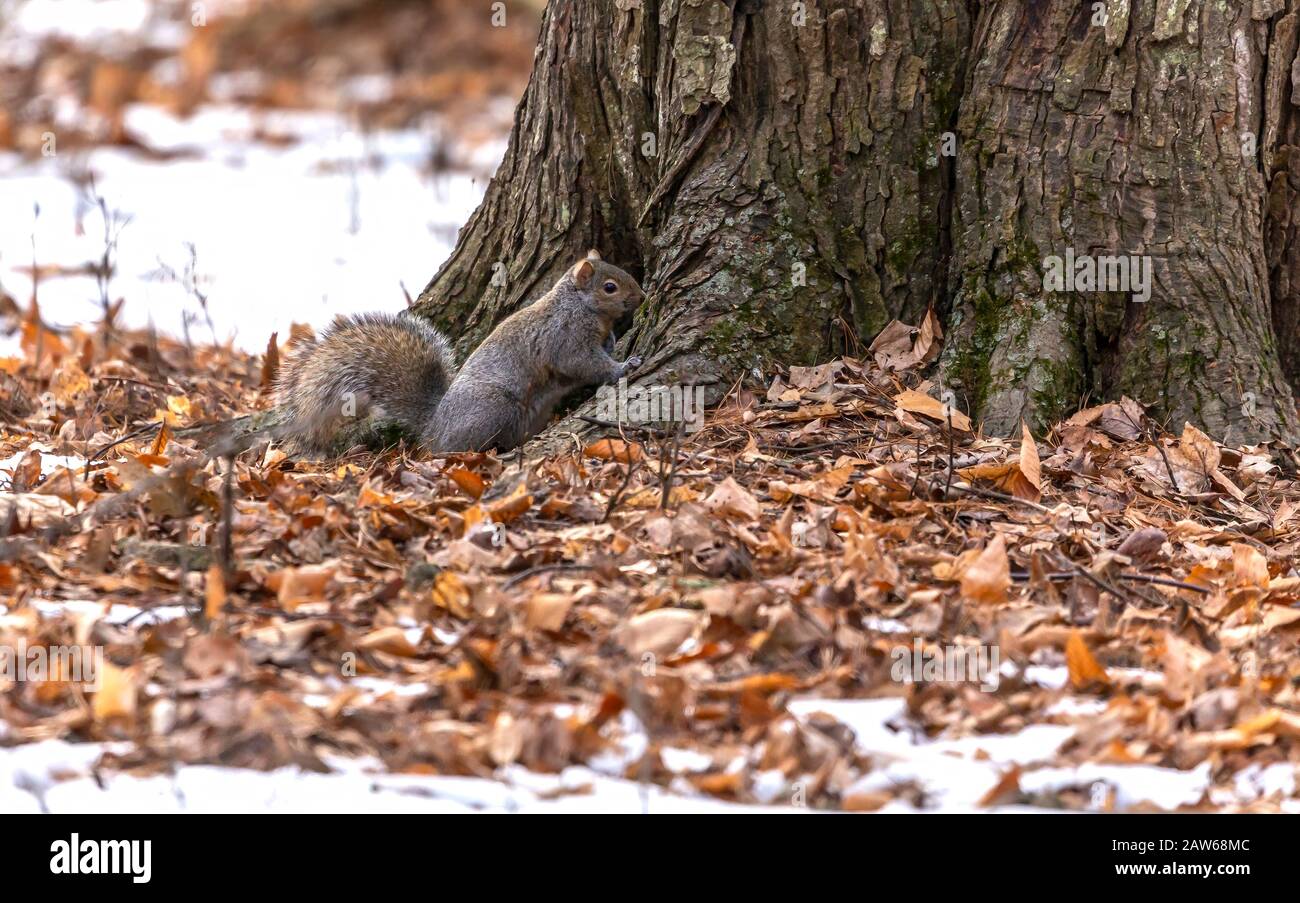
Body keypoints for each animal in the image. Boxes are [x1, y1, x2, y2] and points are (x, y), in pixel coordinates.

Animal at [271, 250, 644, 456]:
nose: (642, 297)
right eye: (610, 287)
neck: (578, 305)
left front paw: (614, 342)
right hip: (492, 407)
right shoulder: (564, 337)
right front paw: (624, 366)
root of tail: (433, 427)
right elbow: (584, 363)